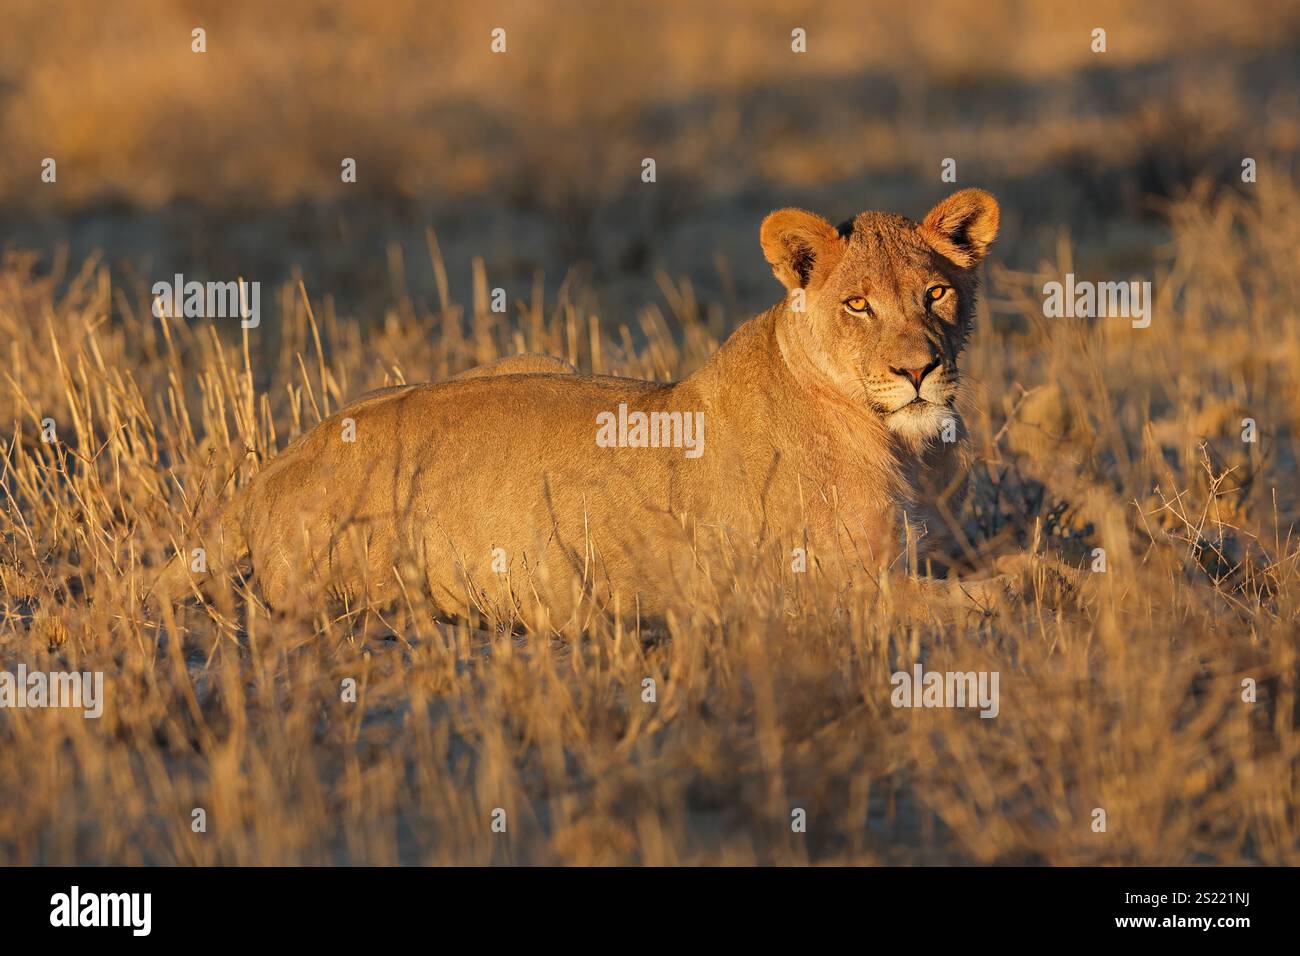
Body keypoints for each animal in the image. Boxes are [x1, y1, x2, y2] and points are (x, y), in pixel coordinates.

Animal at [151, 189, 1025, 626]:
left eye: (936, 293)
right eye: (857, 305)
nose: (920, 368)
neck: (907, 446)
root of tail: (272, 470)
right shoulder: (820, 591)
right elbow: (986, 593)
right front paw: (1037, 585)